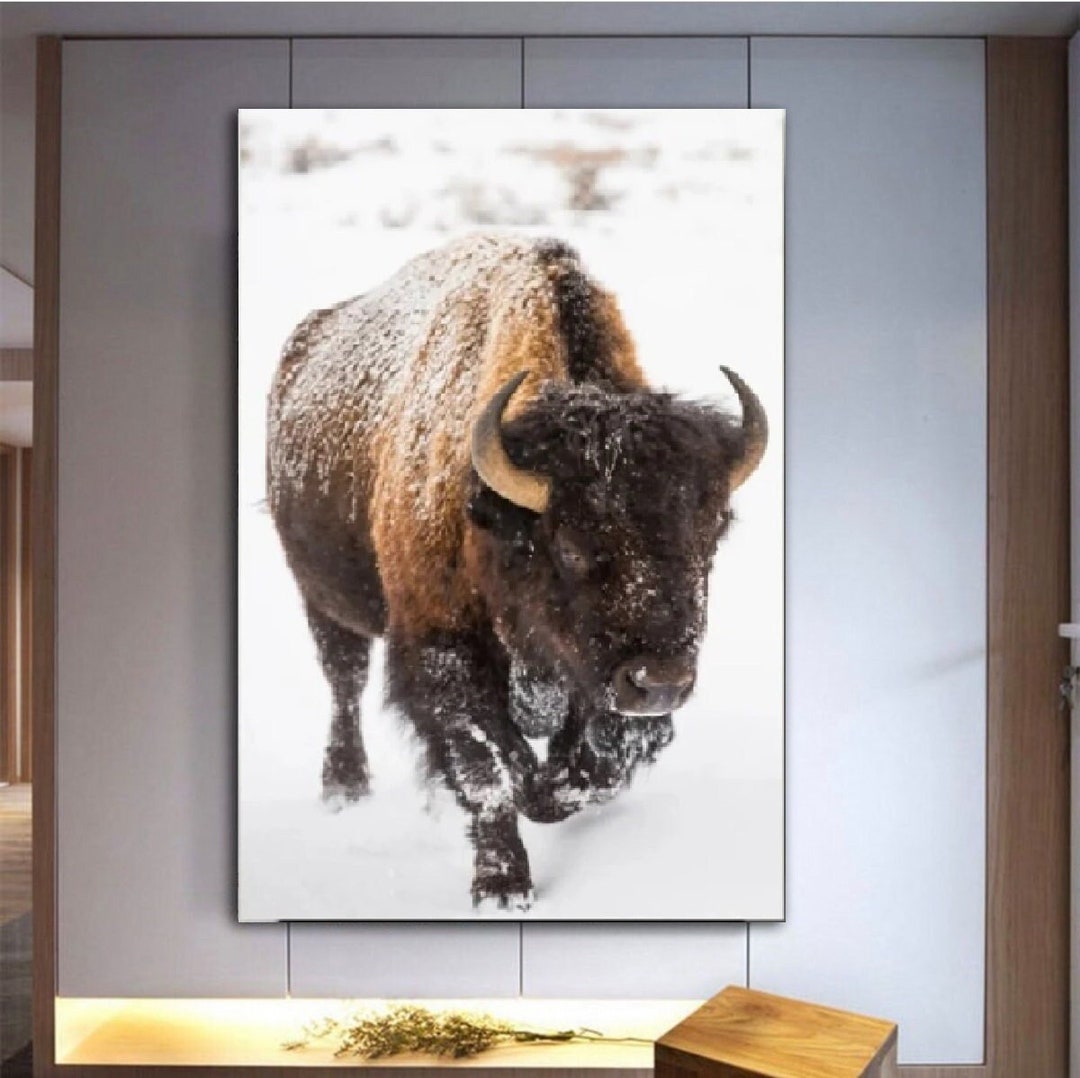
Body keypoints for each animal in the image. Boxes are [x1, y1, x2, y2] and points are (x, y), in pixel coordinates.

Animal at [267, 233, 767, 910]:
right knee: (343, 681)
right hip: (323, 599)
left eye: (712, 535)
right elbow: (489, 771)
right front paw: (502, 886)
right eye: (571, 545)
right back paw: (344, 787)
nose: (660, 683)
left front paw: (546, 795)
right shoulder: (443, 650)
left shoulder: (599, 686)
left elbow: (591, 769)